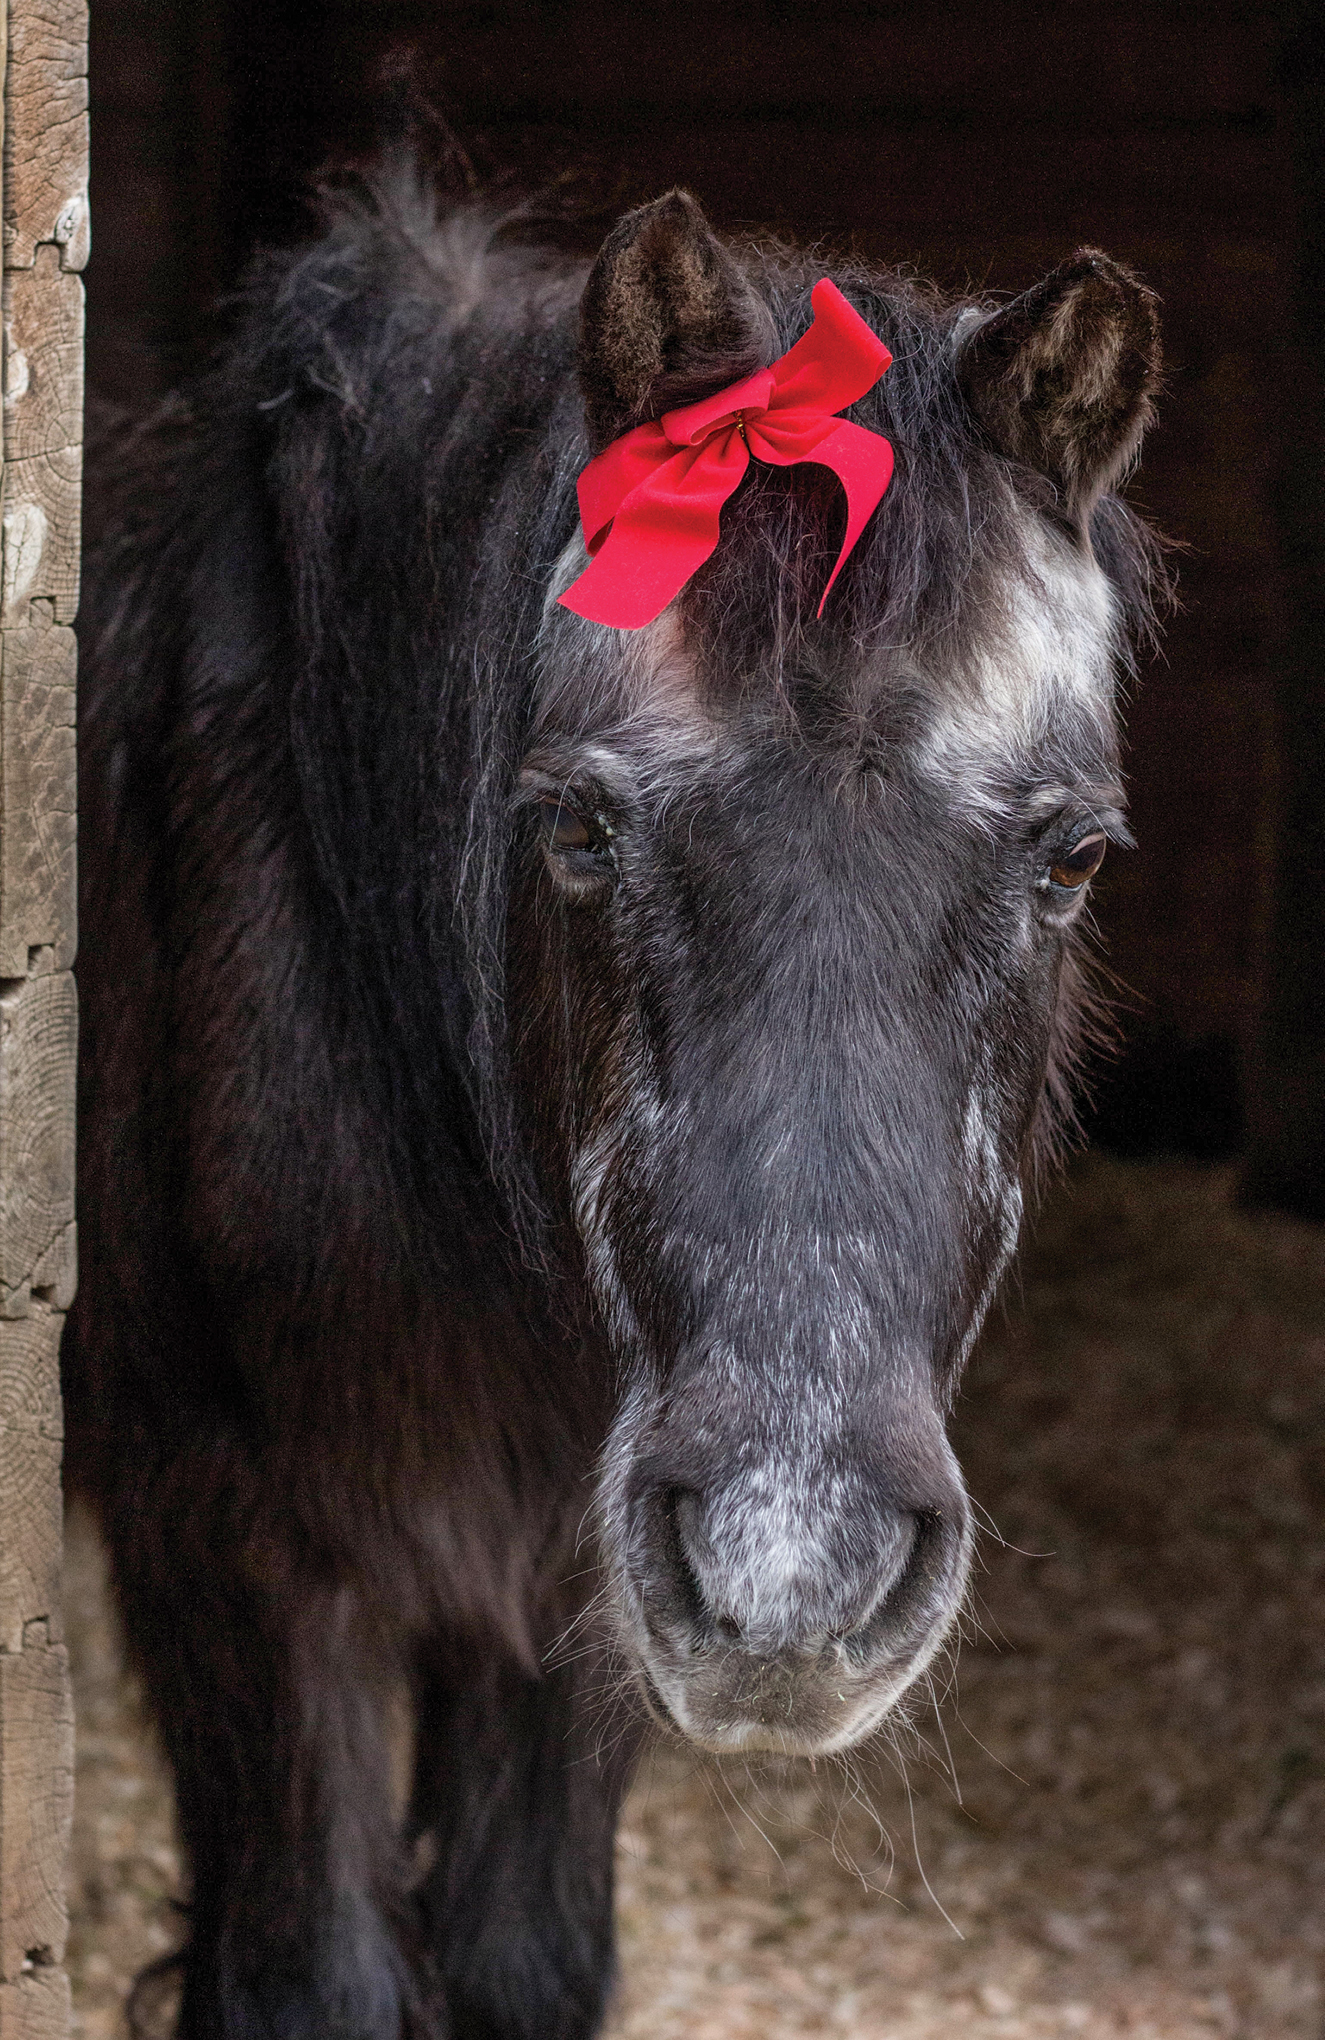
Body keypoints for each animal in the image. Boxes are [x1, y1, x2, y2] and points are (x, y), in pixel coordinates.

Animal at [65, 168, 1163, 2039]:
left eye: (1075, 856)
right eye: (577, 826)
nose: (793, 1573)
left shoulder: (580, 1590)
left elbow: (527, 1963)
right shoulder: (233, 1554)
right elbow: (314, 1977)